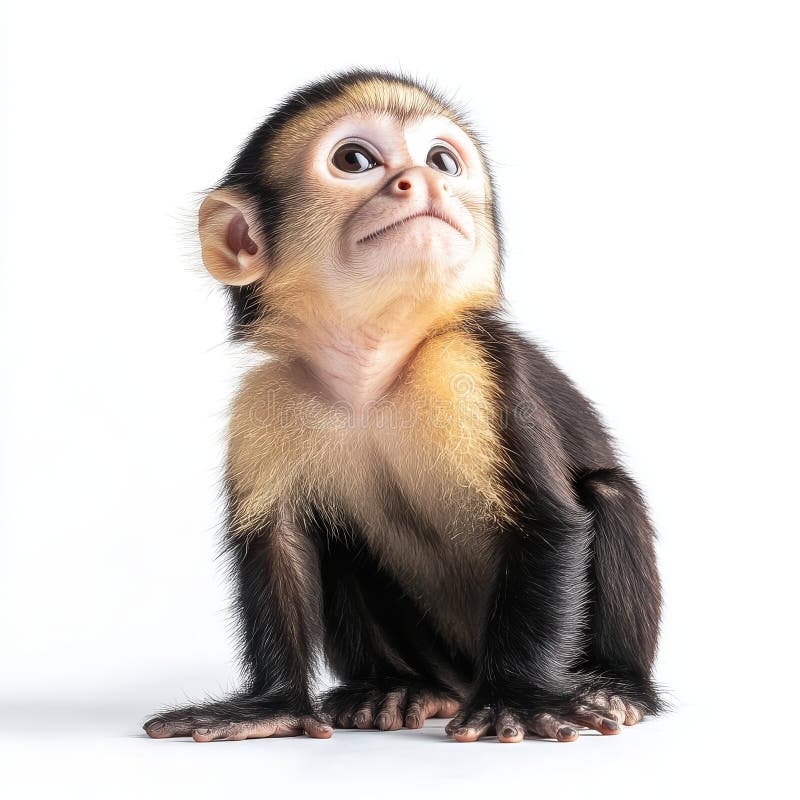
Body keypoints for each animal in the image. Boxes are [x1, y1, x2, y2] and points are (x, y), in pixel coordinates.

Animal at [143, 67, 664, 745]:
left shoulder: (473, 368)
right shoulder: (267, 397)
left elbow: (549, 522)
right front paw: (272, 706)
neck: (373, 372)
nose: (425, 179)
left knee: (606, 491)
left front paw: (517, 700)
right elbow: (278, 541)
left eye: (443, 160)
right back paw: (398, 686)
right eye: (354, 160)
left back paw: (615, 686)